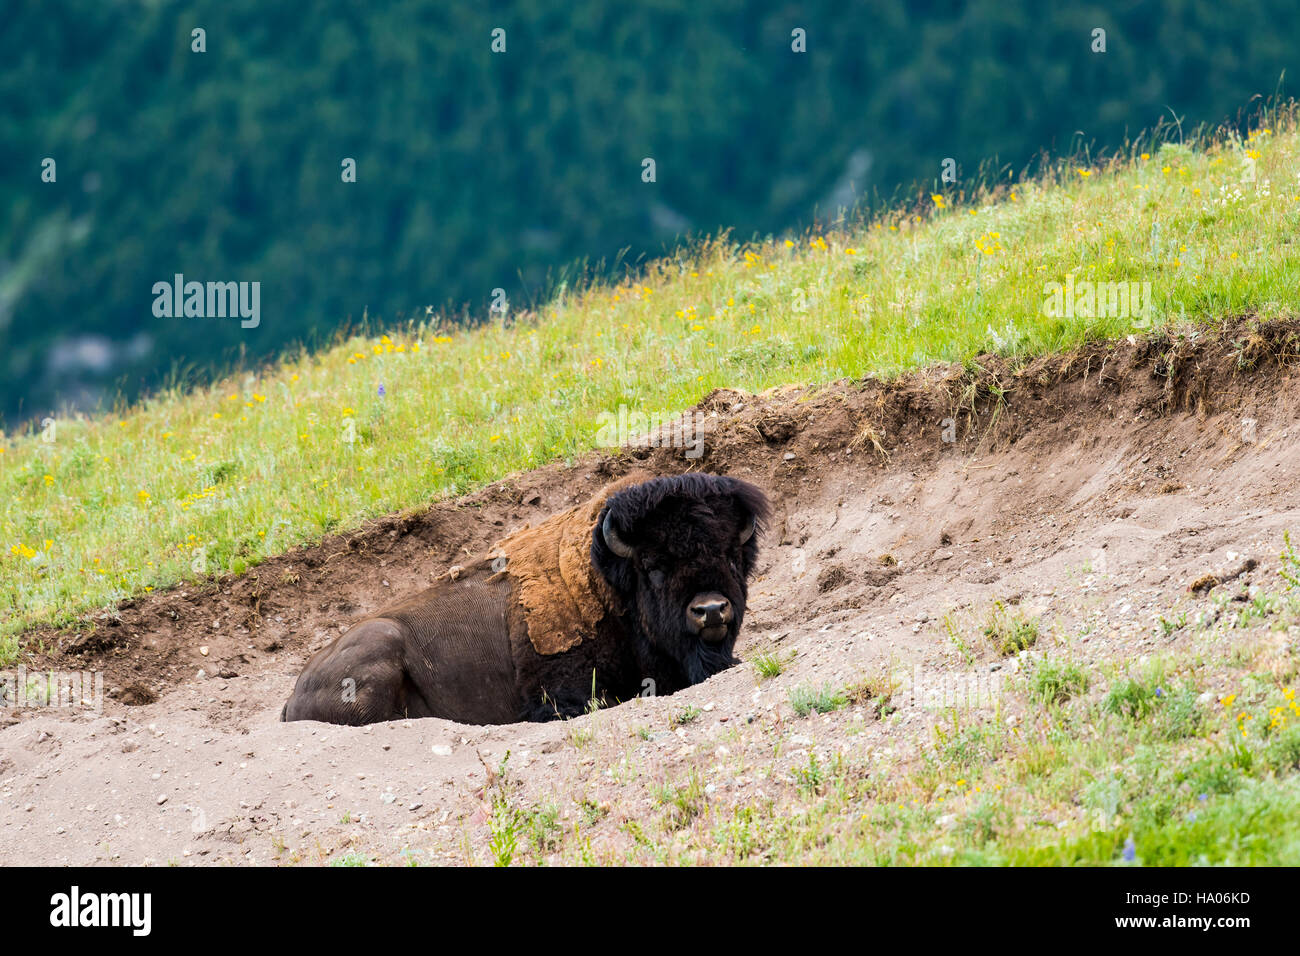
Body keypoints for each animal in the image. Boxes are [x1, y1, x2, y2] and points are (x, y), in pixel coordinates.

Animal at [281, 472, 770, 725]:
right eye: (653, 565)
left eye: (731, 554)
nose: (711, 610)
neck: (609, 583)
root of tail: (291, 697)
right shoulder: (560, 695)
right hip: (378, 651)